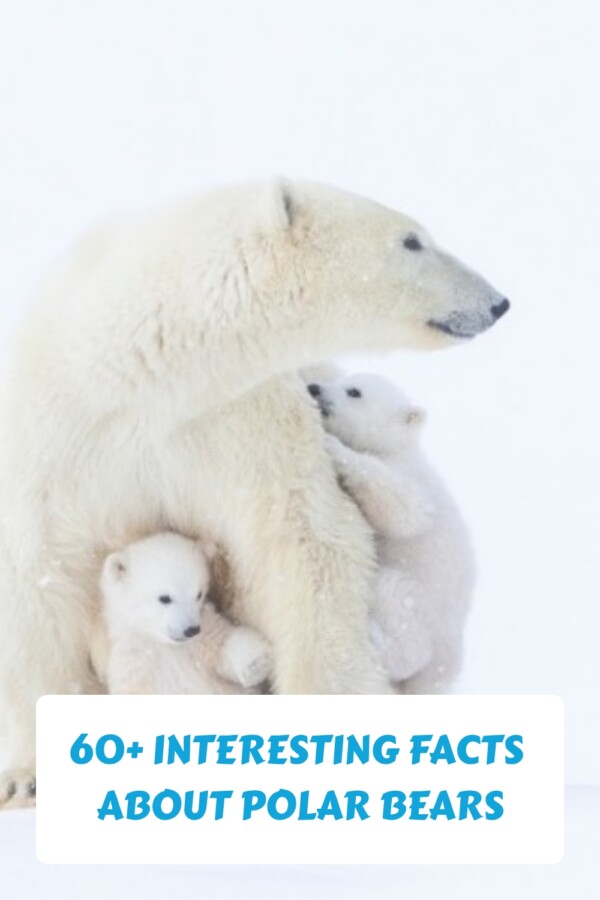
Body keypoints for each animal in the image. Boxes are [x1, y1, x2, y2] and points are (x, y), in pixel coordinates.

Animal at [92, 532, 272, 695]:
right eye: (165, 598)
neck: (168, 647)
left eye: (199, 594)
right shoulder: (135, 663)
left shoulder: (203, 636)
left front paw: (258, 661)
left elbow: (223, 644)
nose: (191, 630)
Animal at [308, 372, 475, 693]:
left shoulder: (410, 478)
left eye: (354, 391)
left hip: (423, 599)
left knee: (399, 606)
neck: (396, 448)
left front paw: (335, 447)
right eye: (343, 379)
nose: (314, 387)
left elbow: (406, 510)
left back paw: (375, 637)